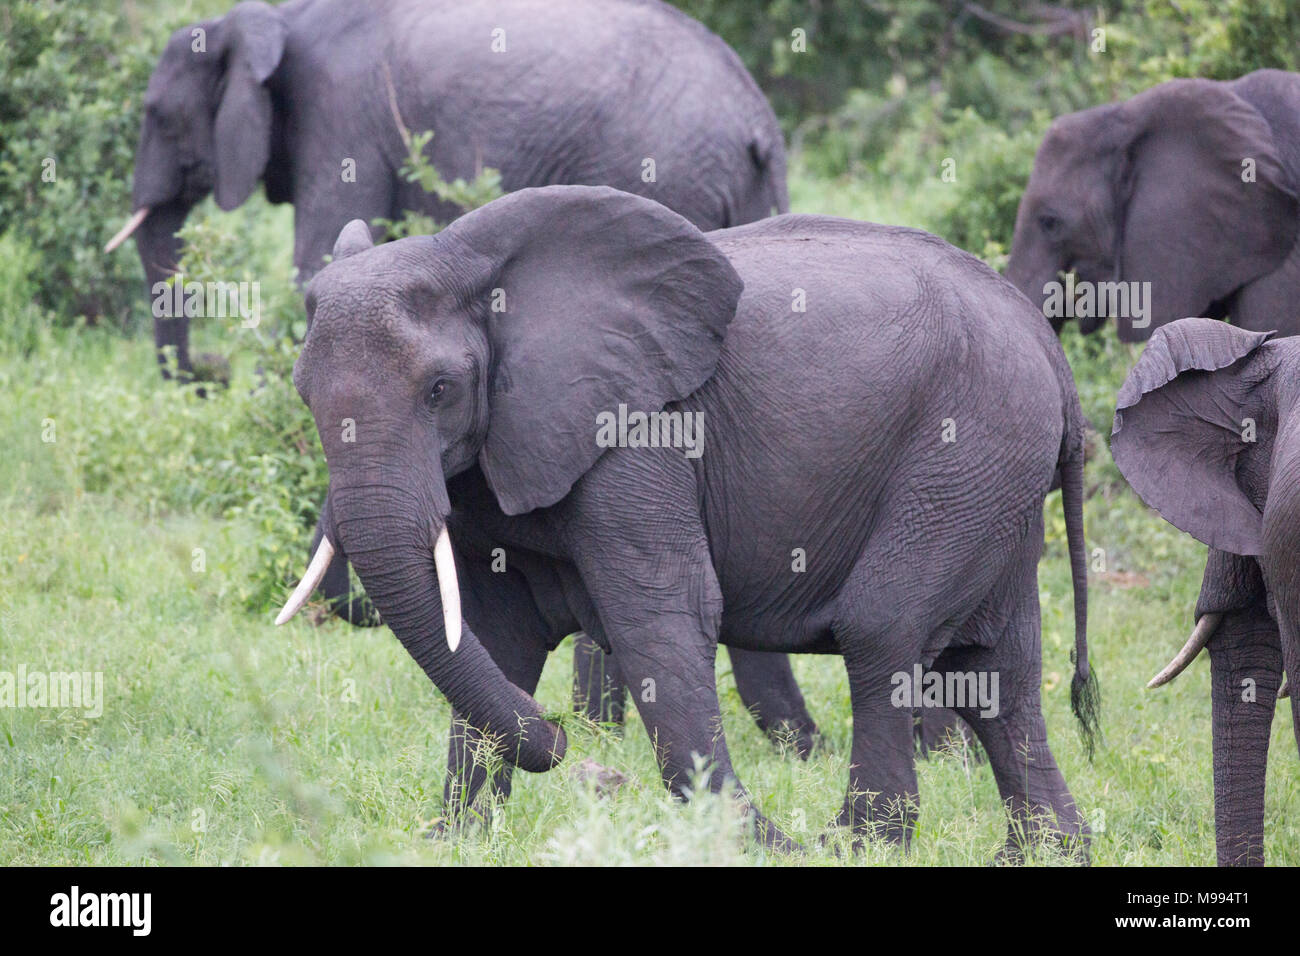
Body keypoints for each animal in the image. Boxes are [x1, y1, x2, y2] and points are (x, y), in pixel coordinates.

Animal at [104, 0, 789, 381]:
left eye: (158, 116)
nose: (213, 375)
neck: (264, 21)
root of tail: (759, 121)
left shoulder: (340, 112)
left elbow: (315, 261)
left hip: (674, 172)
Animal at [274, 185, 1097, 856]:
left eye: (440, 389)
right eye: (303, 394)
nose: (570, 748)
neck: (483, 274)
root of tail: (1046, 346)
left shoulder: (636, 431)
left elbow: (660, 617)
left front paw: (742, 843)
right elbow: (492, 636)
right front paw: (455, 841)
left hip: (967, 448)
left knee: (882, 625)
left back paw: (858, 844)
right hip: (993, 473)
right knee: (994, 666)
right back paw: (1044, 851)